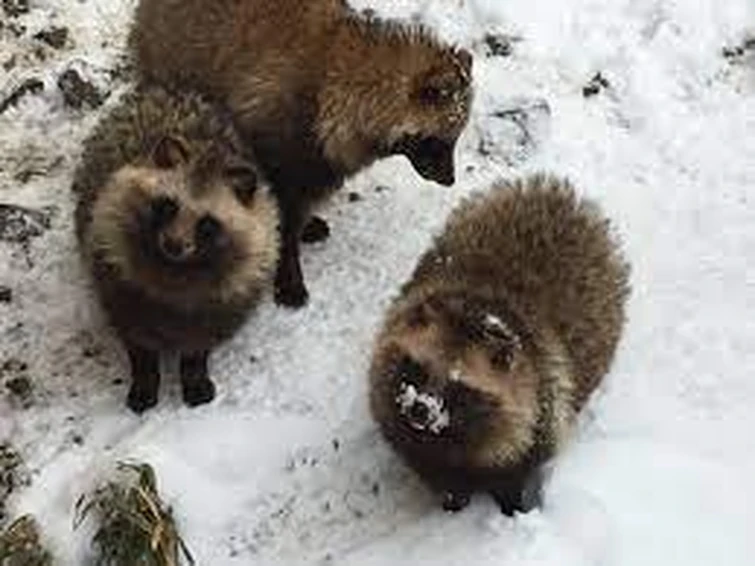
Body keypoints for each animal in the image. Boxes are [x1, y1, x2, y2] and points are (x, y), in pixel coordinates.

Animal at [73, 83, 279, 413]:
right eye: (168, 206)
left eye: (207, 224)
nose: (173, 244)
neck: (177, 271)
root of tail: (166, 90)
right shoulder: (115, 272)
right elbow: (136, 337)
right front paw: (145, 376)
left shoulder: (227, 297)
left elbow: (200, 342)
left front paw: (194, 373)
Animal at [129, 0, 473, 307]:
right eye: (438, 141)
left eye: (454, 138)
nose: (450, 180)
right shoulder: (278, 137)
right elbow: (282, 207)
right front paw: (288, 272)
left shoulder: (317, 156)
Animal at [369, 175, 630, 514]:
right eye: (419, 366)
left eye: (459, 385)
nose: (420, 409)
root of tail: (553, 192)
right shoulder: (398, 416)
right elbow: (435, 471)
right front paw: (452, 500)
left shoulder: (540, 411)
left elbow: (518, 475)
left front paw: (514, 508)